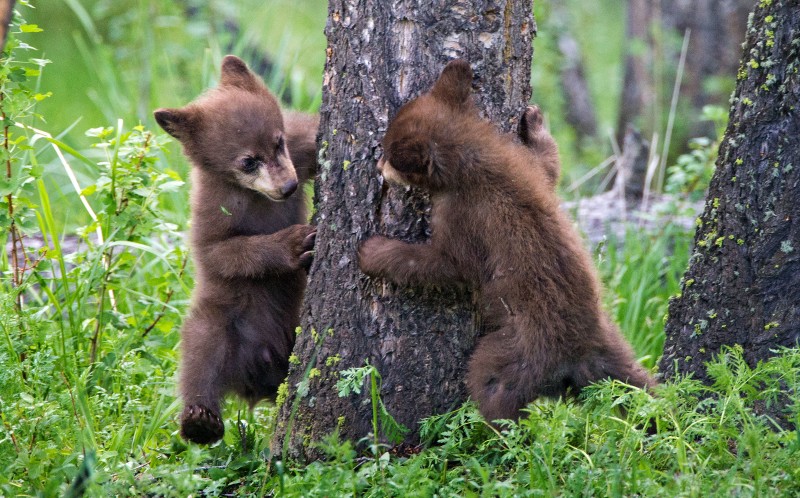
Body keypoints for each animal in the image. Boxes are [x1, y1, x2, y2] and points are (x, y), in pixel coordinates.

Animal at [154, 55, 317, 444]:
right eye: (248, 161)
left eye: (277, 143)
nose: (288, 187)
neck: (252, 194)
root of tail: (258, 379)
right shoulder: (211, 209)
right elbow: (222, 251)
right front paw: (295, 243)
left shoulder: (299, 151)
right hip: (217, 320)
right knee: (199, 357)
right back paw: (200, 422)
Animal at [358, 59, 656, 423]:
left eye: (388, 153)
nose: (377, 165)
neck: (476, 157)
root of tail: (577, 355)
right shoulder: (526, 166)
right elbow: (549, 165)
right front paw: (535, 121)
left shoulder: (465, 214)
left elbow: (447, 263)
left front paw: (371, 252)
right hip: (616, 349)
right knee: (640, 386)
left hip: (514, 351)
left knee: (493, 387)